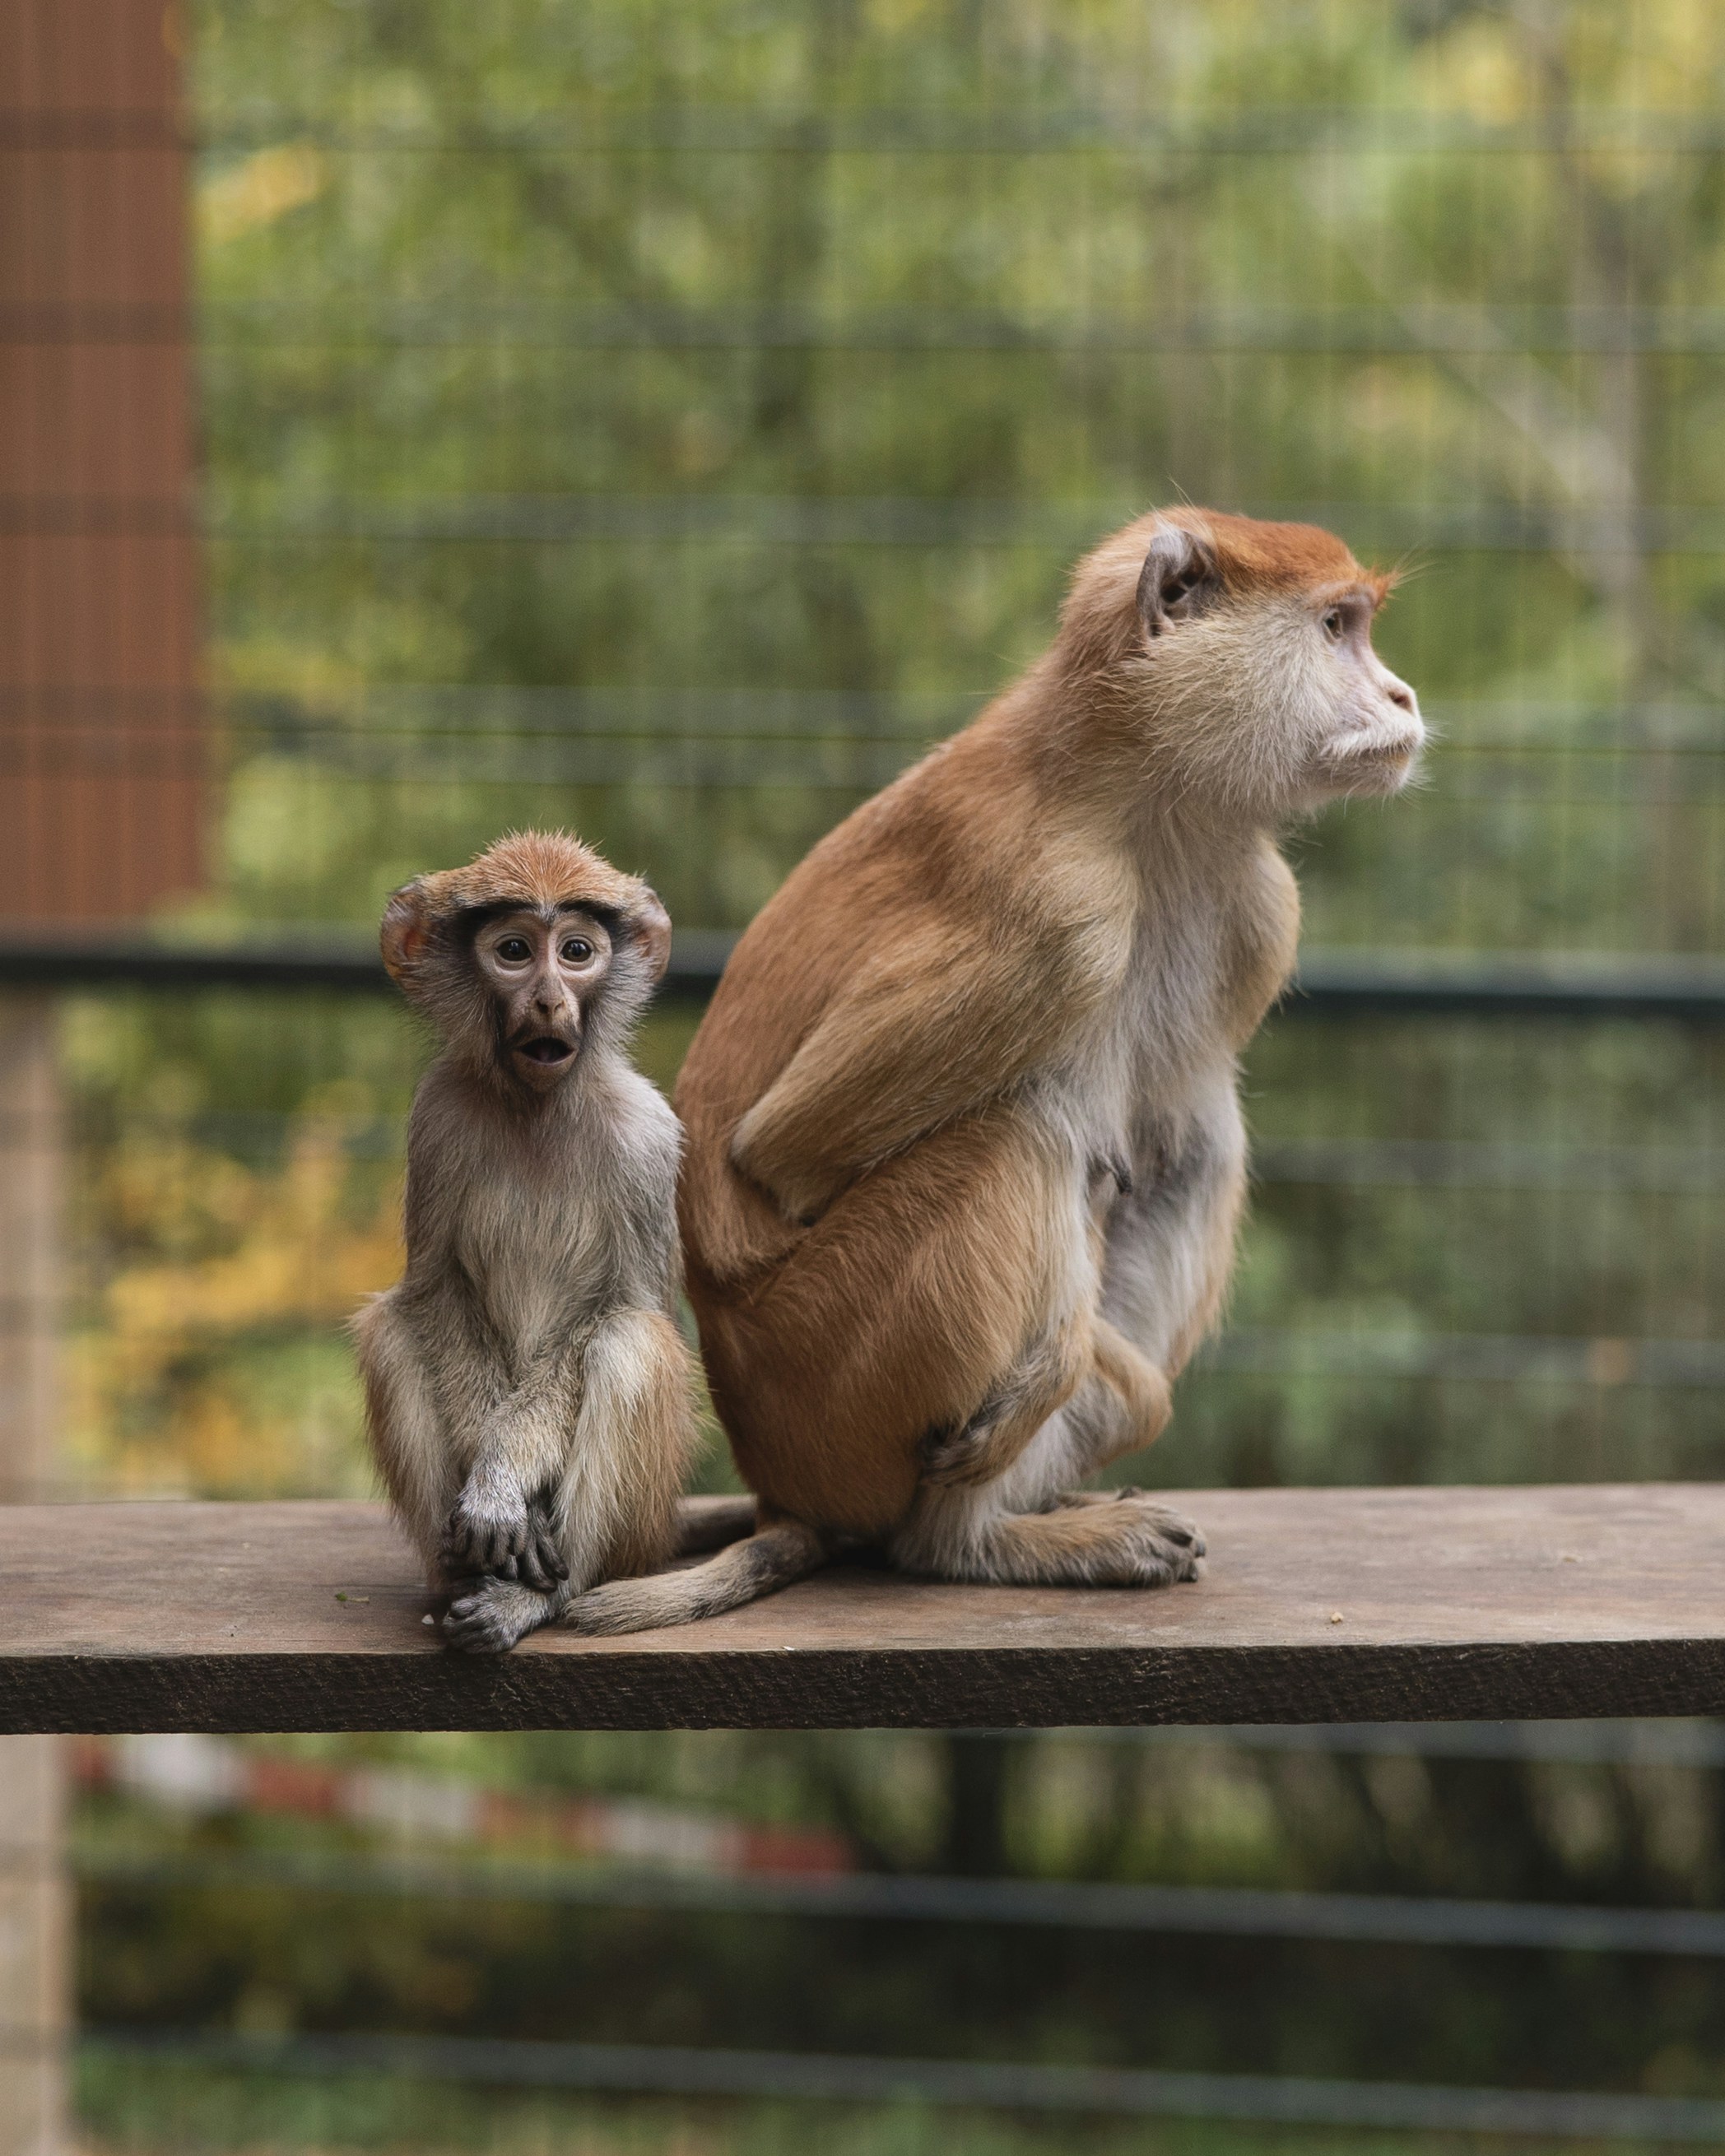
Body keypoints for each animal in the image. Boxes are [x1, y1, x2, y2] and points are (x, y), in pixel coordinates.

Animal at [352, 829, 750, 1654]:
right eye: (513, 951)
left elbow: (626, 1308)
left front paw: (504, 1486)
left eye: (575, 952)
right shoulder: (438, 1116)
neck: (537, 1109)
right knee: (391, 1328)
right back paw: (460, 1582)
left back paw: (537, 1598)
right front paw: (492, 1493)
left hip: (640, 1523)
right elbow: (435, 1294)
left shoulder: (647, 1135)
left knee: (631, 1341)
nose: (547, 1001)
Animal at [562, 509, 1423, 1636]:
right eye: (1333, 628)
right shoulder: (1059, 914)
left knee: (1194, 1143)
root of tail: (783, 1479)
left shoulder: (1255, 905)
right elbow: (778, 1155)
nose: (1402, 697)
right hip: (833, 1372)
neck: (1138, 786)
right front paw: (1071, 1372)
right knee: (1019, 1133)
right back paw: (962, 1540)